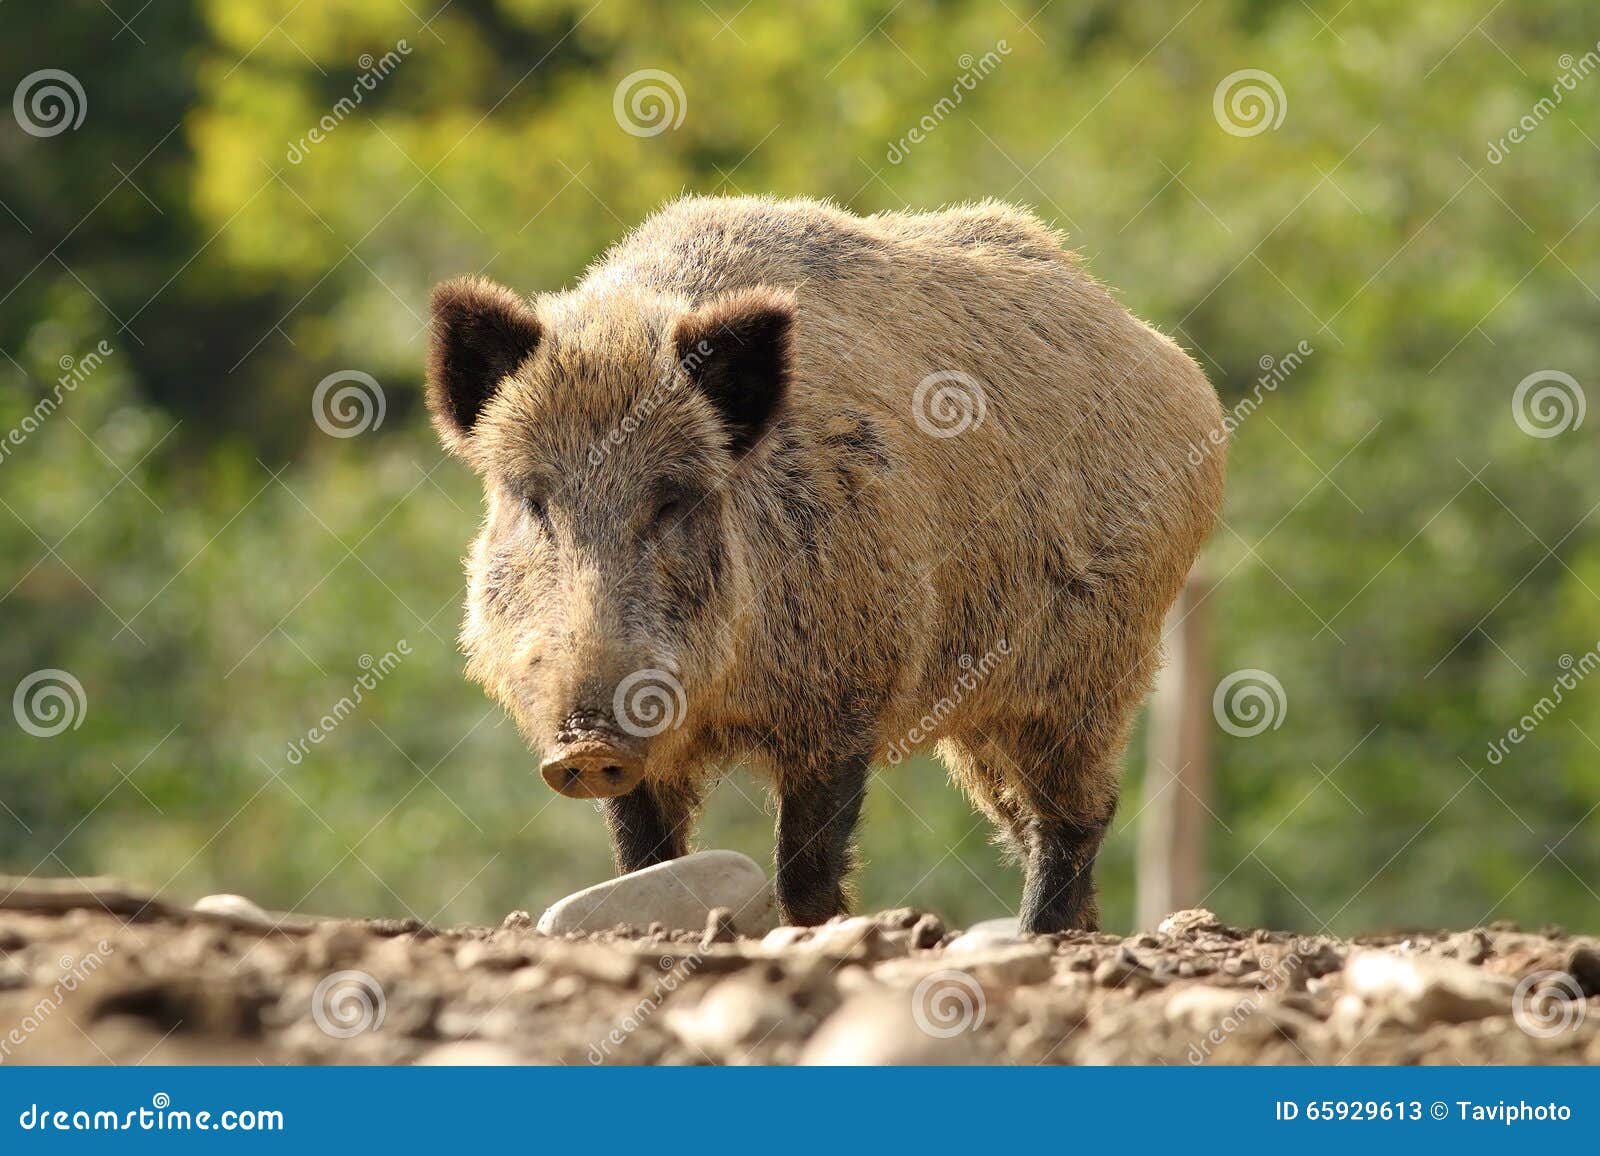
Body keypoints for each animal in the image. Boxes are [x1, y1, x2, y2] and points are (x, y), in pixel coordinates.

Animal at [424, 195, 1225, 932]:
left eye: (673, 499)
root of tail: (1186, 381)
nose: (587, 744)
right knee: (1026, 820)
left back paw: (1042, 932)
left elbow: (805, 866)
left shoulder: (848, 692)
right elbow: (646, 859)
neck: (729, 695)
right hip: (986, 713)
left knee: (1079, 815)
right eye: (532, 499)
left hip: (1094, 666)